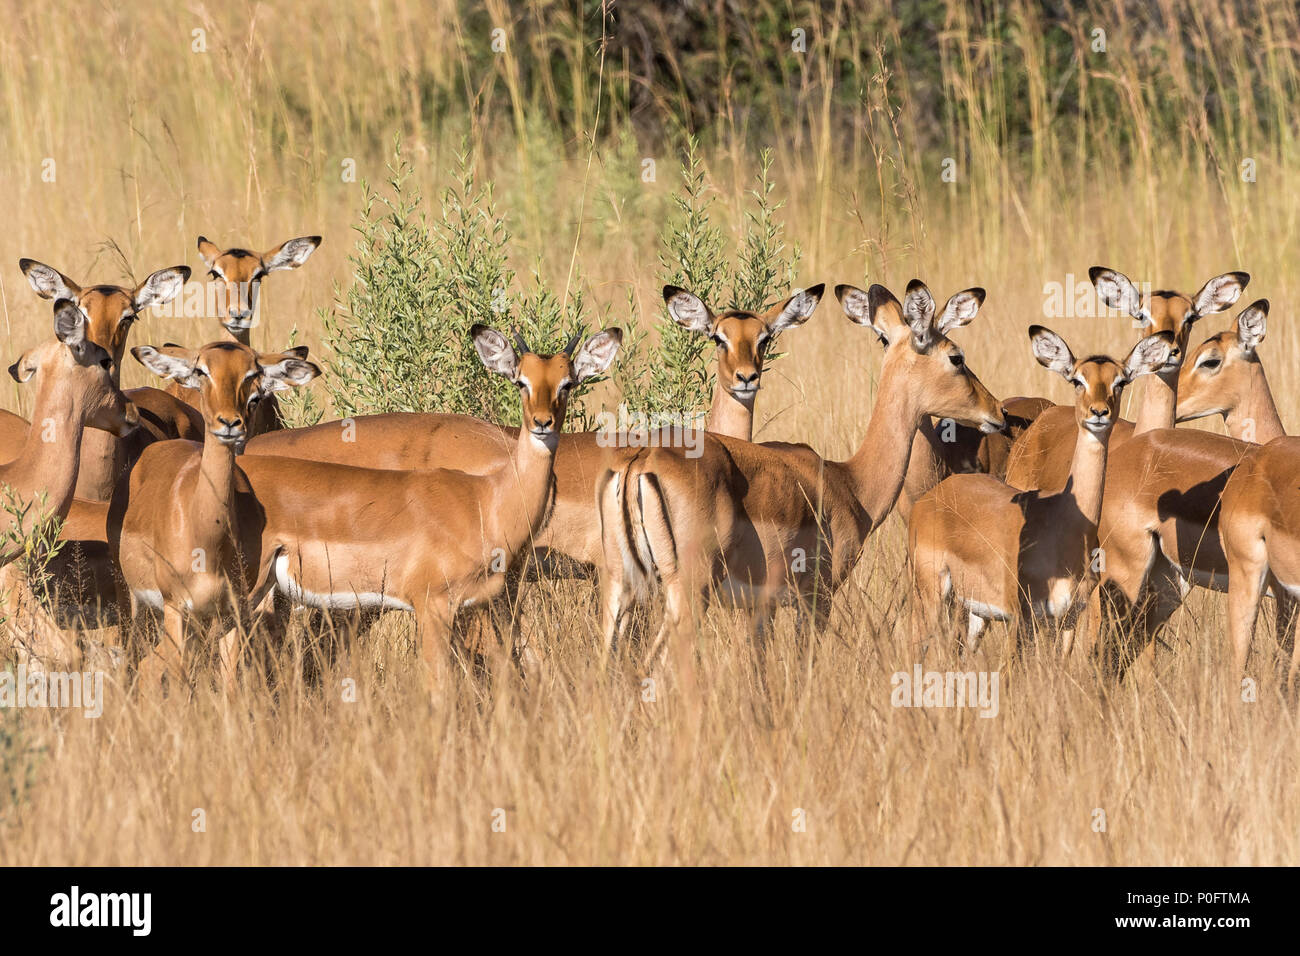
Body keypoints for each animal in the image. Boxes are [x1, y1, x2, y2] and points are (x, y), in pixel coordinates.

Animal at [109, 341, 321, 690]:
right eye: (201, 370)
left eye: (252, 375)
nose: (230, 423)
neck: (206, 541)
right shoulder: (177, 609)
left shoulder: (231, 614)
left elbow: (229, 682)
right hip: (134, 600)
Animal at [595, 280, 1005, 661]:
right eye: (956, 357)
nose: (997, 412)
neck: (850, 483)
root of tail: (640, 464)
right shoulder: (816, 599)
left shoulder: (763, 608)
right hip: (687, 593)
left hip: (622, 589)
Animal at [908, 326, 1174, 653]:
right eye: (1077, 379)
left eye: (1120, 381)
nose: (1099, 412)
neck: (1064, 526)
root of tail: (933, 496)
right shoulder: (1021, 619)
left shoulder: (1067, 620)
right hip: (931, 595)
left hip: (975, 612)